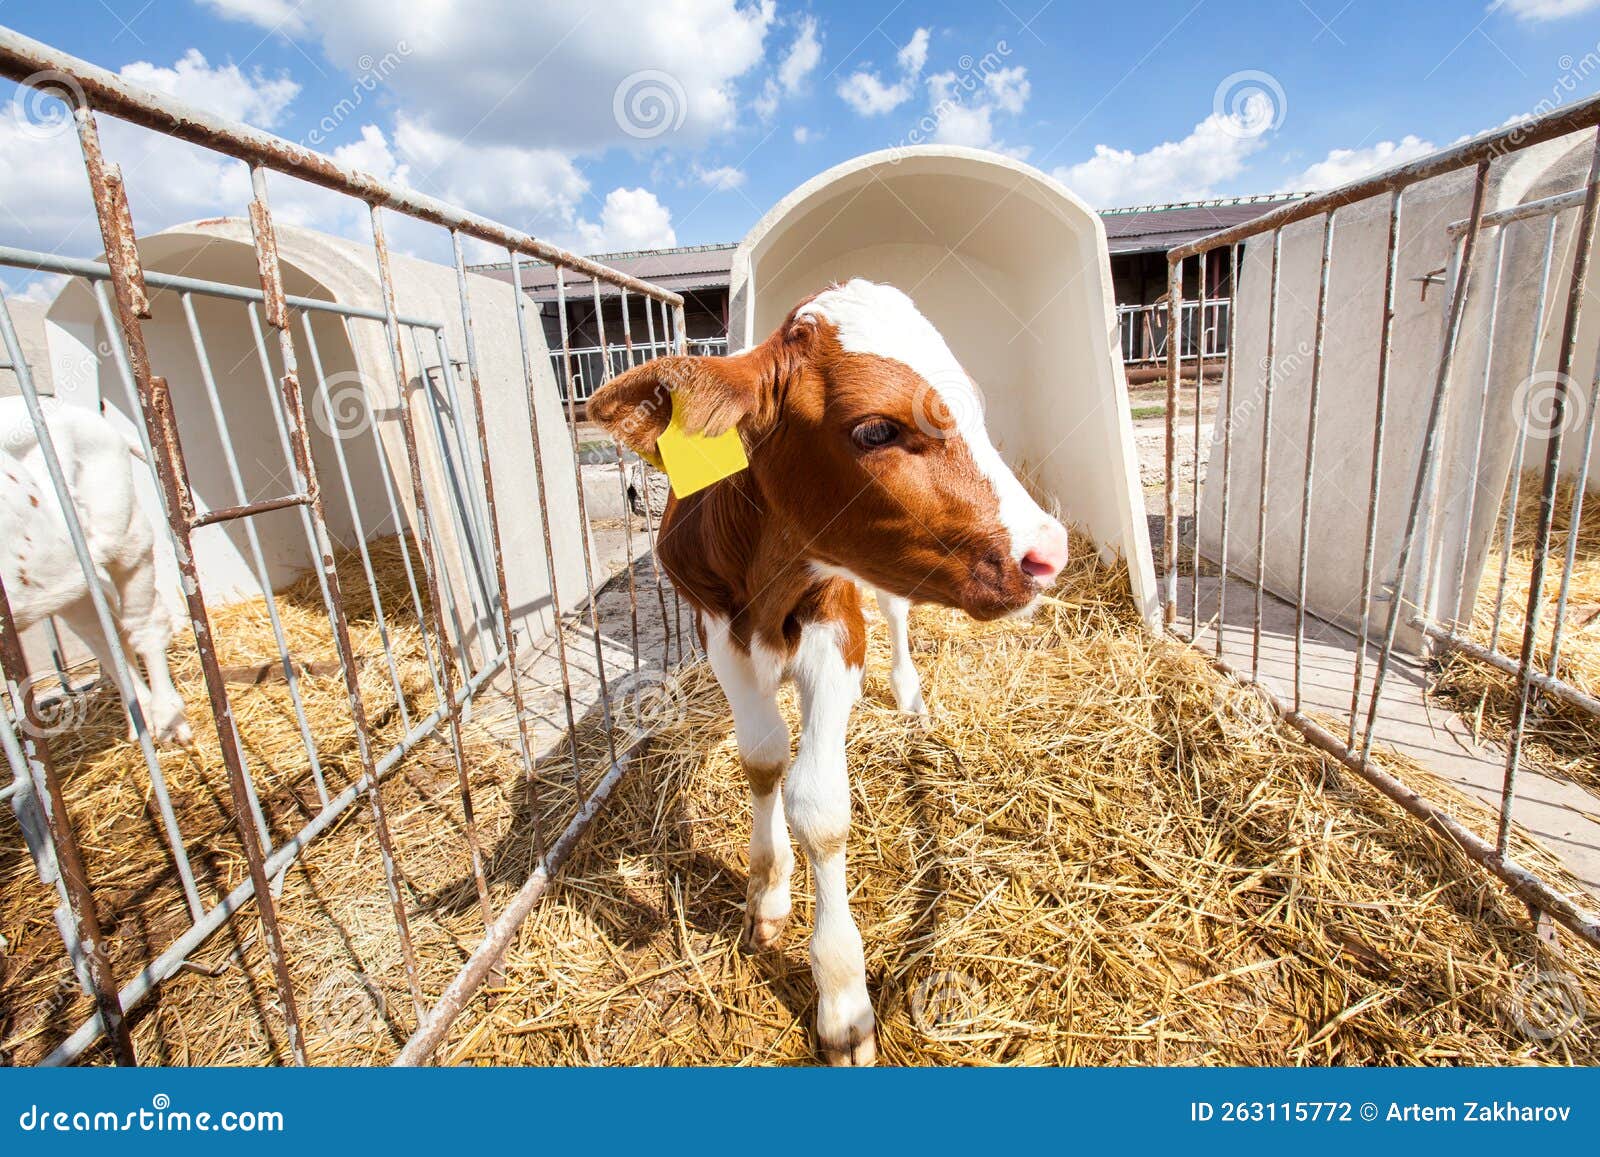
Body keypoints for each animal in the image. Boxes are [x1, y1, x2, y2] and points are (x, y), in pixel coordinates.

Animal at [0, 397, 193, 747]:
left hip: (127, 536)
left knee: (144, 625)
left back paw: (168, 719)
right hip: (68, 581)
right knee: (109, 637)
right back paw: (142, 722)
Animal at [589, 279, 1069, 1065]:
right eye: (876, 431)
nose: (1049, 552)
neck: (769, 573)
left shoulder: (837, 625)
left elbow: (818, 804)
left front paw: (843, 998)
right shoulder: (716, 632)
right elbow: (762, 760)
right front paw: (768, 892)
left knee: (898, 612)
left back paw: (908, 694)